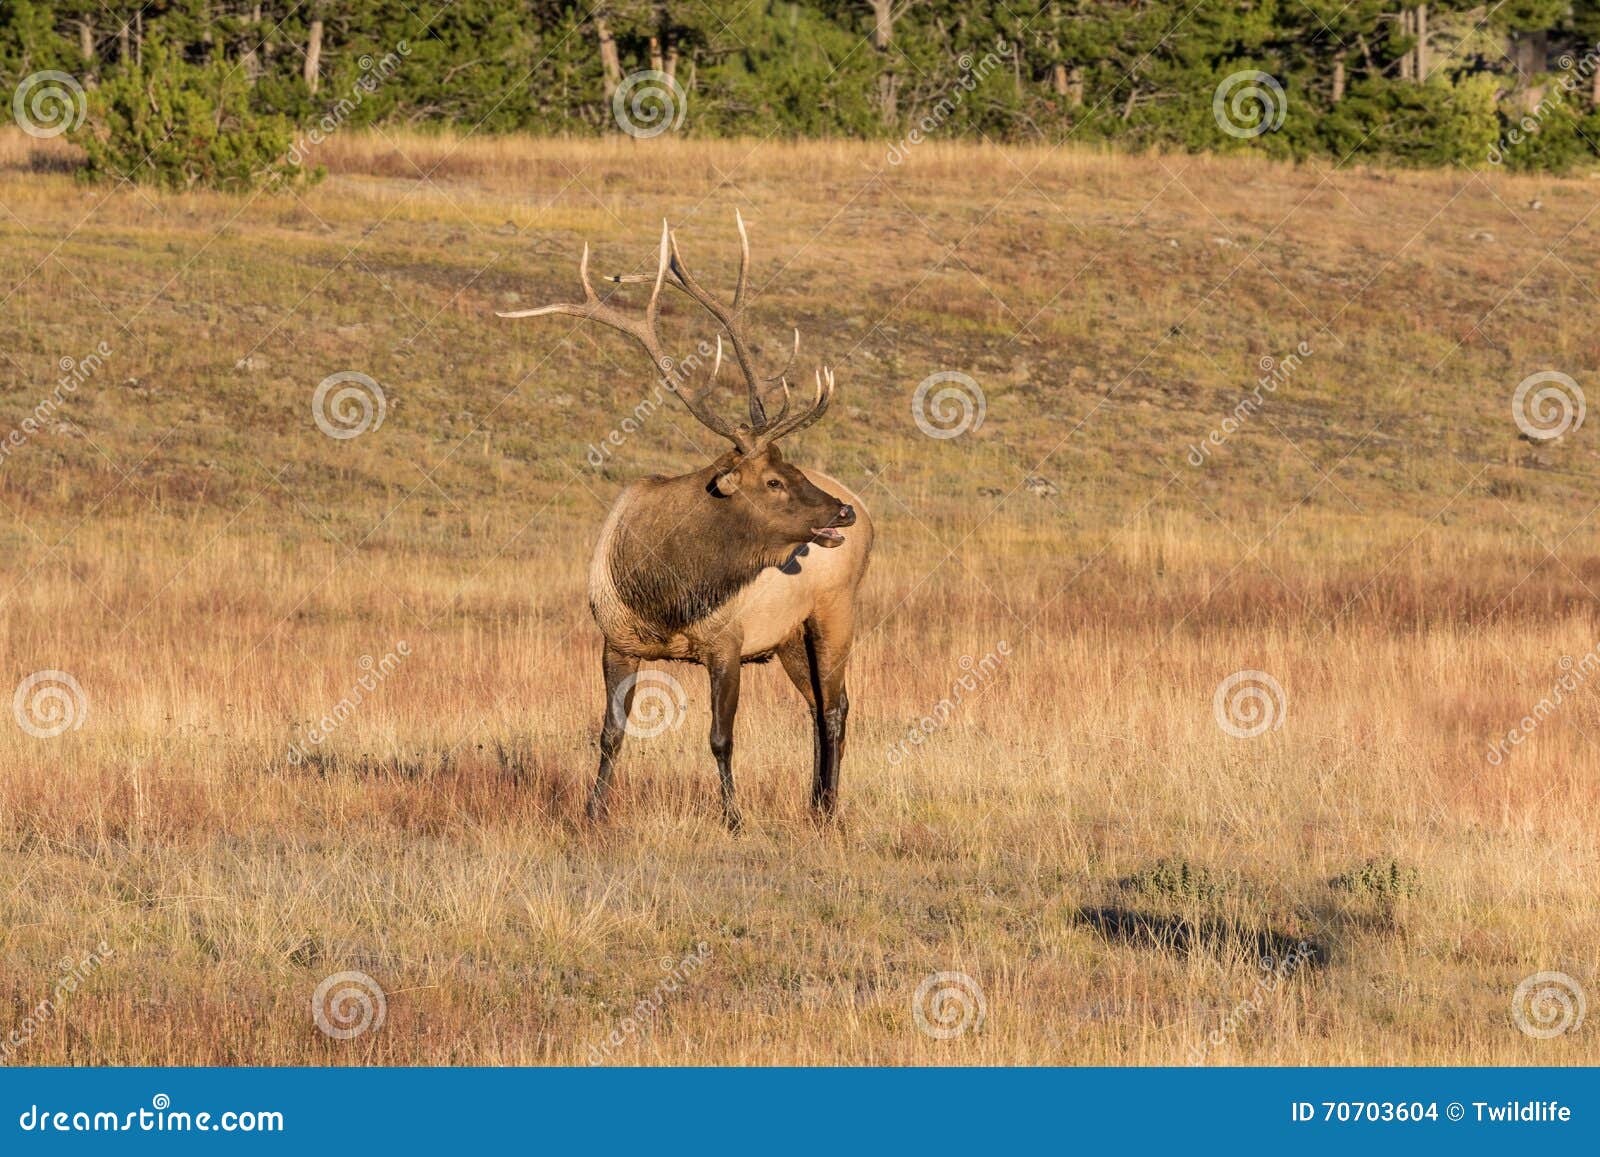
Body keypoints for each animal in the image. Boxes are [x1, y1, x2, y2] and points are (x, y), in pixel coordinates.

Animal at [498, 214, 873, 830]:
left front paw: (734, 818)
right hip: (790, 638)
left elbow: (721, 738)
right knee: (818, 708)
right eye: (774, 481)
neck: (665, 589)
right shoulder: (616, 640)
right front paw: (592, 811)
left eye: (791, 468)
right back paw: (815, 802)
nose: (841, 511)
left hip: (835, 611)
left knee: (838, 707)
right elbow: (610, 733)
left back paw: (830, 809)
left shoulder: (727, 642)